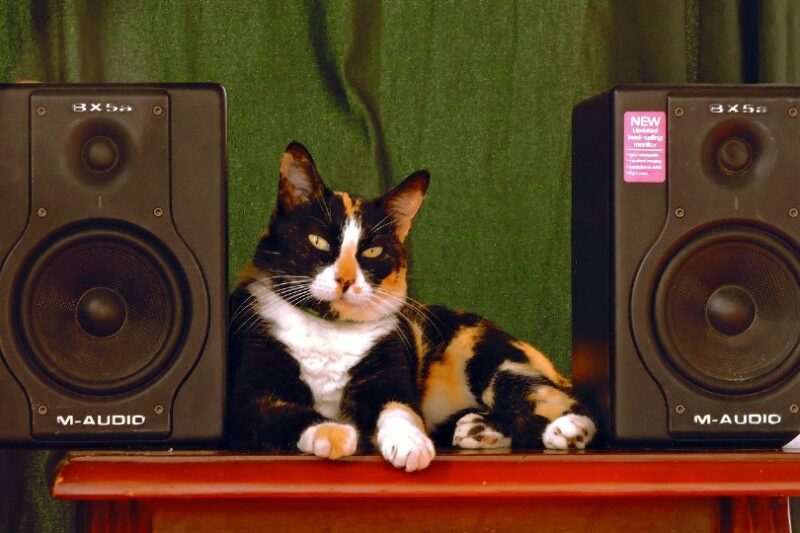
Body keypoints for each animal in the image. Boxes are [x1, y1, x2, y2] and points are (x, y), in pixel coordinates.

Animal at [228, 143, 596, 472]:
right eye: (317, 241)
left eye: (372, 251)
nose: (345, 280)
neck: (329, 330)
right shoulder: (247, 396)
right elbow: (284, 415)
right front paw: (334, 434)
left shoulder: (390, 373)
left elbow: (400, 410)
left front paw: (411, 445)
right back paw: (479, 429)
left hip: (486, 356)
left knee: (561, 398)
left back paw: (570, 429)